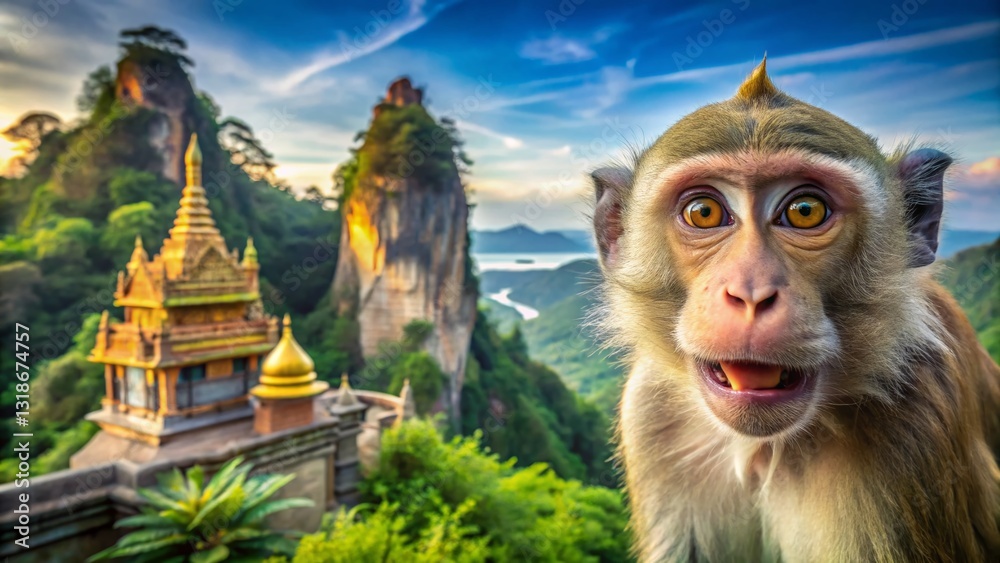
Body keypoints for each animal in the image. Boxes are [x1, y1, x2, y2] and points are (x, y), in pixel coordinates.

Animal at [591, 59, 1000, 562]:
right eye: (704, 212)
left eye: (805, 210)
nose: (750, 293)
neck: (765, 447)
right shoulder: (650, 415)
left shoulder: (917, 425)